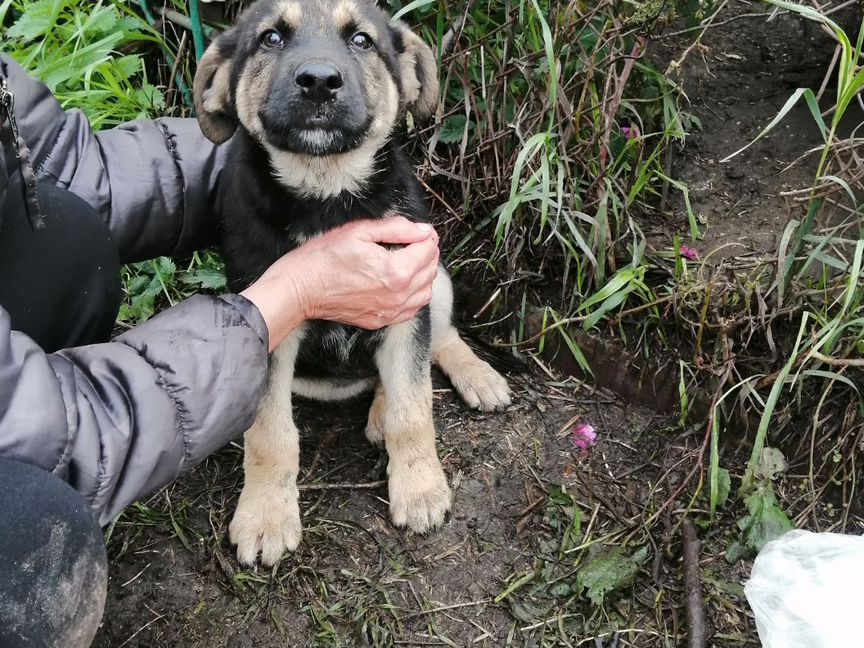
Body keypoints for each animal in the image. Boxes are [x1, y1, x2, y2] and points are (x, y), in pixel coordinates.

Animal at [192, 0, 510, 568]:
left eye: (362, 41)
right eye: (270, 38)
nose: (319, 82)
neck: (328, 193)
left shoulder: (406, 299)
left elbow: (414, 408)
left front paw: (420, 489)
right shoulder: (268, 329)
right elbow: (270, 434)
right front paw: (265, 516)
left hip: (432, 273)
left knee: (439, 342)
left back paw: (475, 378)